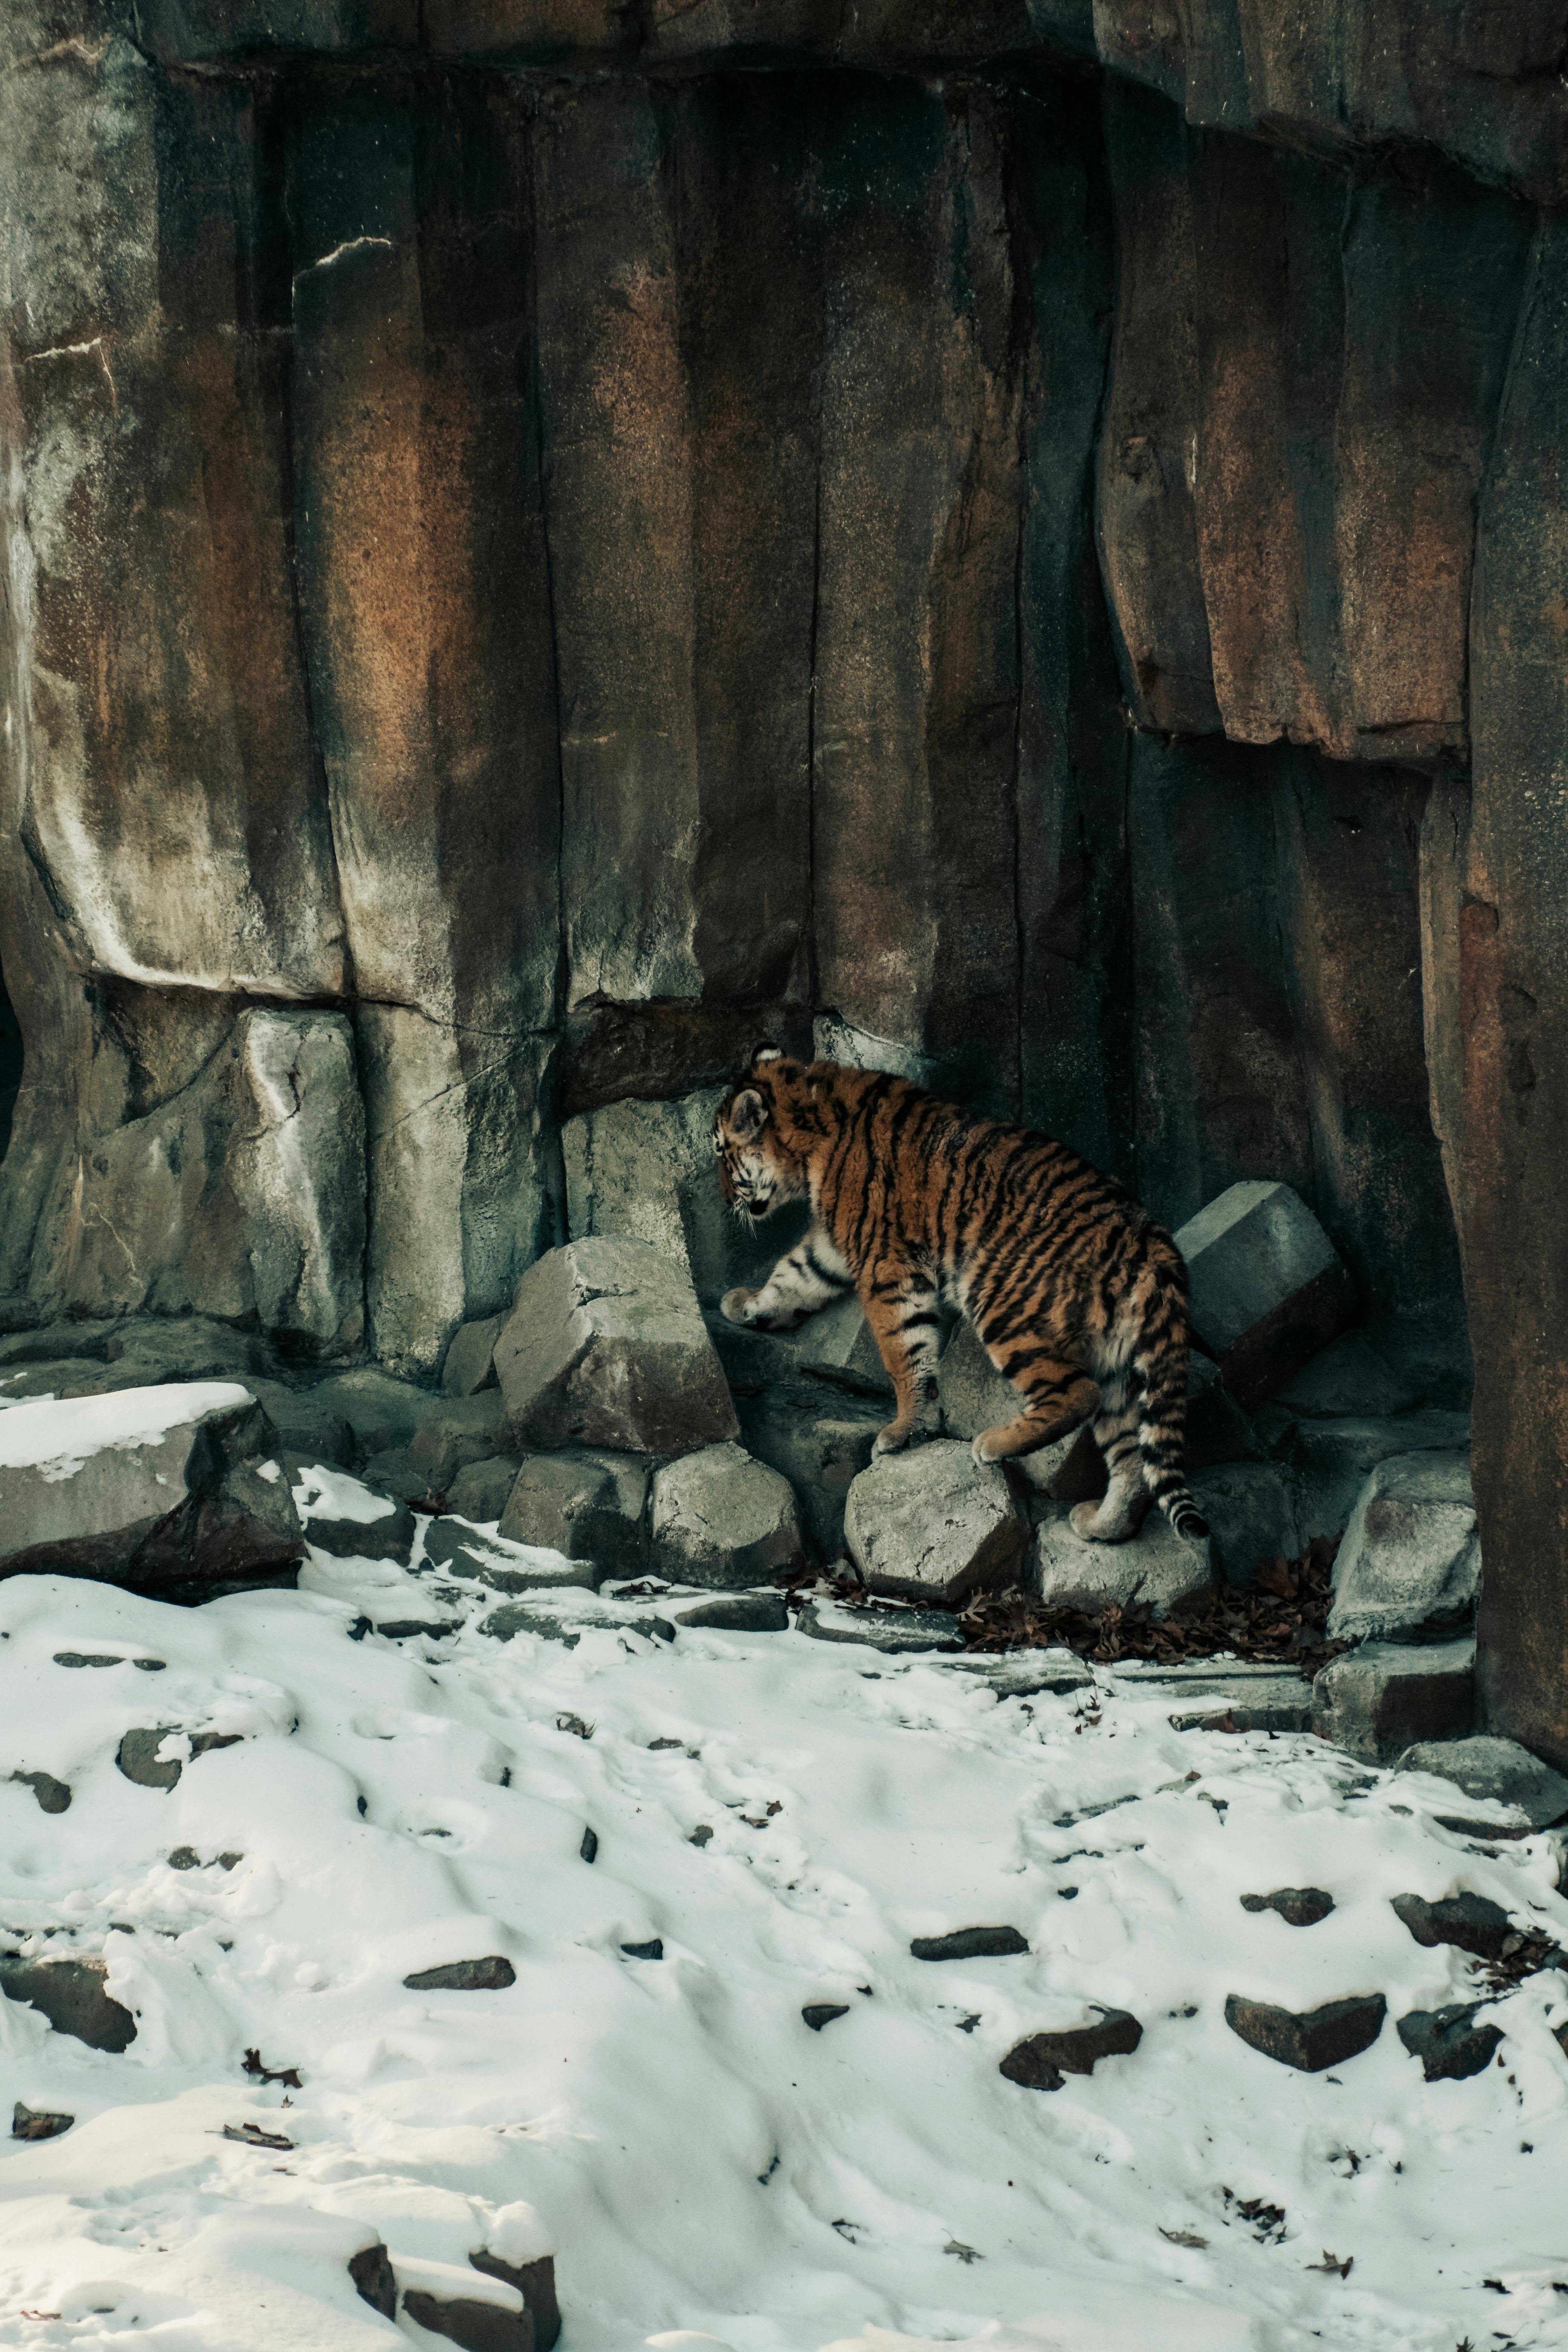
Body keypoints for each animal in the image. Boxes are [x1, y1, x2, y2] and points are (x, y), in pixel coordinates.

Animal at [712, 1046, 1209, 1547]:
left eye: (721, 1153)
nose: (723, 1201)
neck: (810, 1132)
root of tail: (1154, 1246)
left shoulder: (885, 1265)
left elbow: (903, 1355)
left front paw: (900, 1432)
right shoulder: (835, 1247)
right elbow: (793, 1274)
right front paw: (745, 1304)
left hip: (1005, 1306)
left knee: (1076, 1394)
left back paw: (992, 1445)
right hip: (1120, 1368)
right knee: (1131, 1458)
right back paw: (1102, 1526)